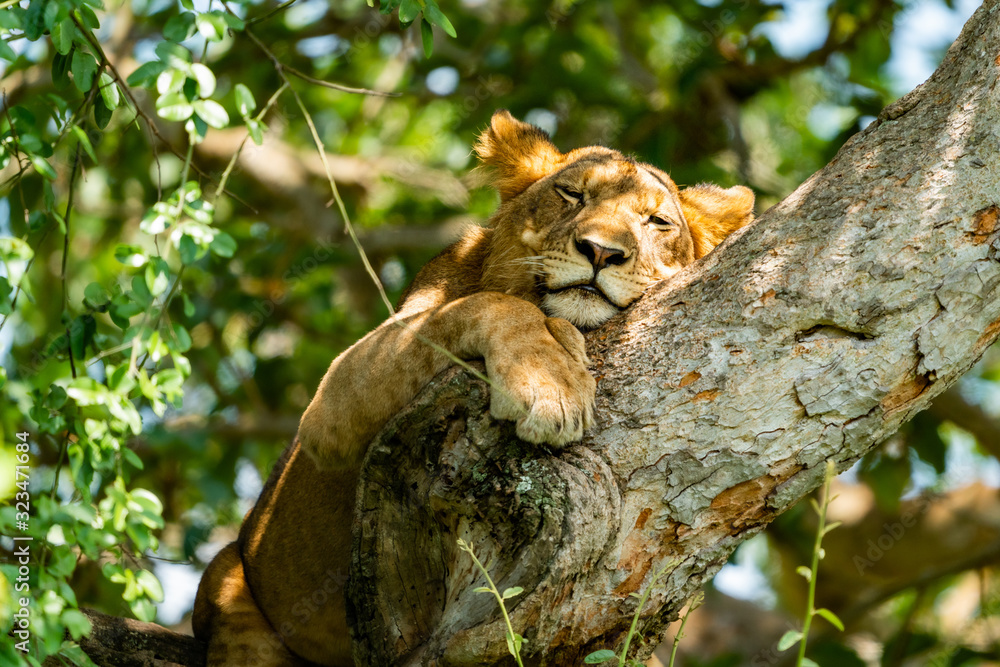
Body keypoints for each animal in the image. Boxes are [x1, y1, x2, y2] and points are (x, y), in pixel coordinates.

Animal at [192, 110, 755, 666]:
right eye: (572, 194)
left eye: (657, 222)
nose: (600, 252)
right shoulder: (329, 408)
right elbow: (491, 305)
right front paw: (549, 382)